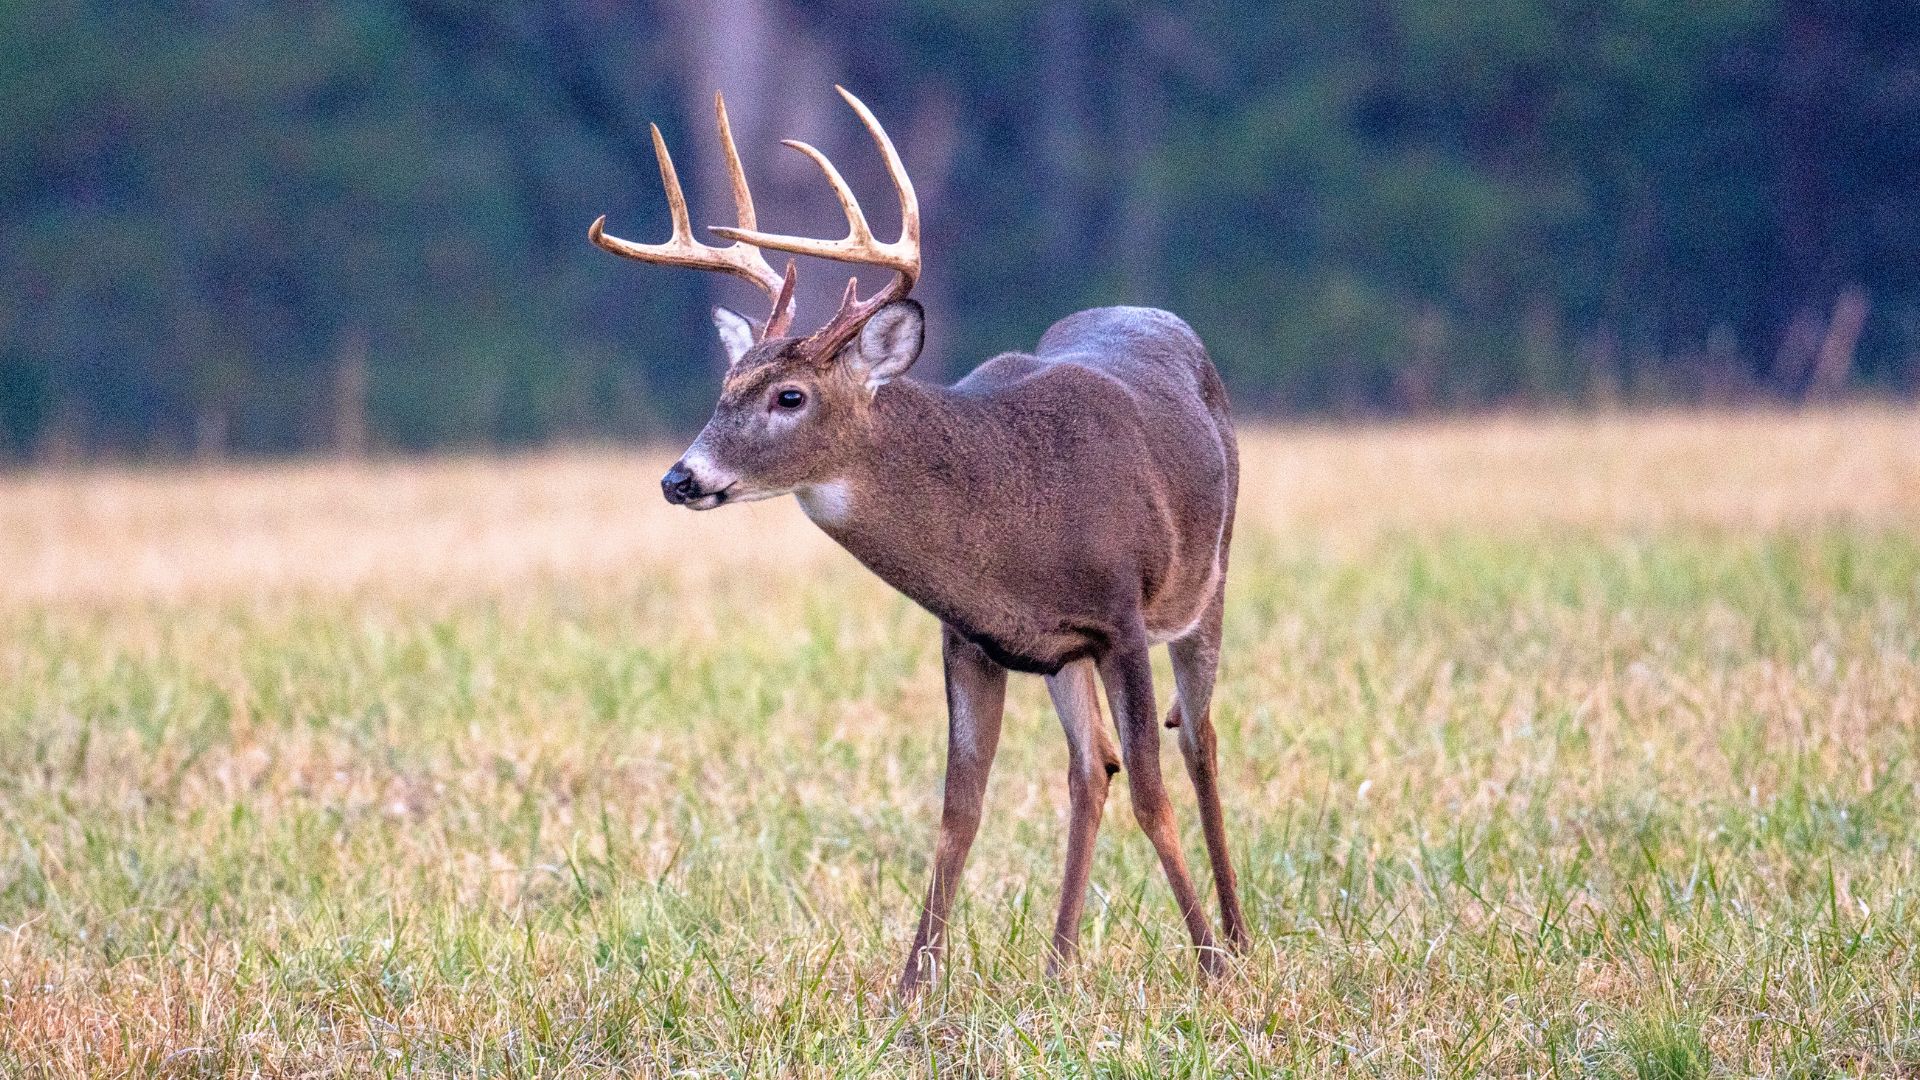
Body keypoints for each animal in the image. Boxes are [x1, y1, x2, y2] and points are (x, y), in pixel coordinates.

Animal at [589, 87, 1248, 995]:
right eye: (726, 386)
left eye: (789, 396)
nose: (681, 478)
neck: (1010, 511)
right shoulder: (971, 637)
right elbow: (959, 811)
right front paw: (912, 986)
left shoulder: (1119, 618)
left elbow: (1154, 790)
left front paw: (1209, 966)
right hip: (1064, 657)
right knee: (1091, 767)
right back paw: (1057, 965)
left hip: (1206, 583)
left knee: (1200, 742)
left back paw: (1238, 941)